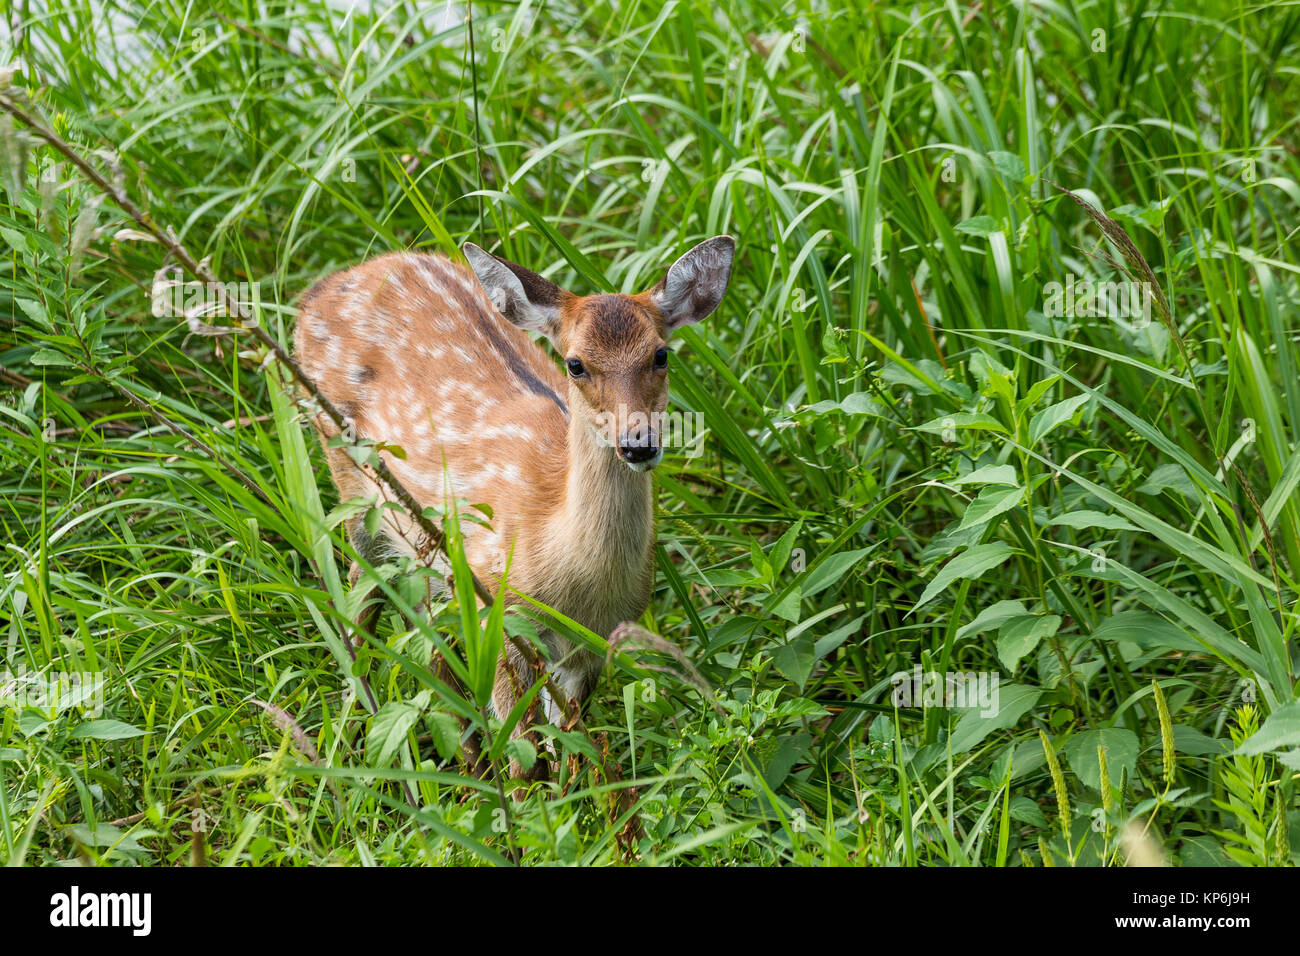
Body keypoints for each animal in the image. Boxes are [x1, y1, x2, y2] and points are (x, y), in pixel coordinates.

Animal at [294, 235, 735, 779]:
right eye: (575, 363)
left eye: (661, 353)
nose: (637, 444)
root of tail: (319, 291)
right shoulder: (501, 616)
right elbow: (527, 762)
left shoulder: (592, 643)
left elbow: (571, 753)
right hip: (347, 472)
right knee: (359, 601)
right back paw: (358, 746)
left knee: (424, 632)